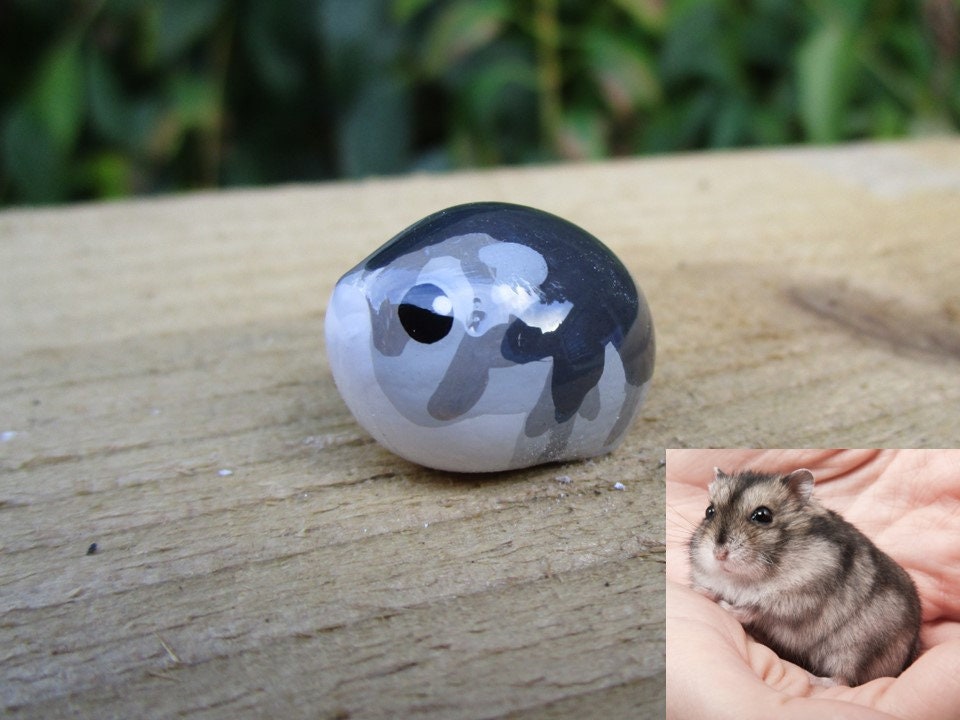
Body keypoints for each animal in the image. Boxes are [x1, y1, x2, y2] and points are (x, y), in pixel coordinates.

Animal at [688, 467, 921, 686]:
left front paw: (724, 605)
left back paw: (814, 679)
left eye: (763, 515)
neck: (744, 578)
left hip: (854, 650)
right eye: (709, 511)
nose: (719, 554)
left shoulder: (796, 600)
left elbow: (752, 609)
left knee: (842, 679)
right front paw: (700, 591)